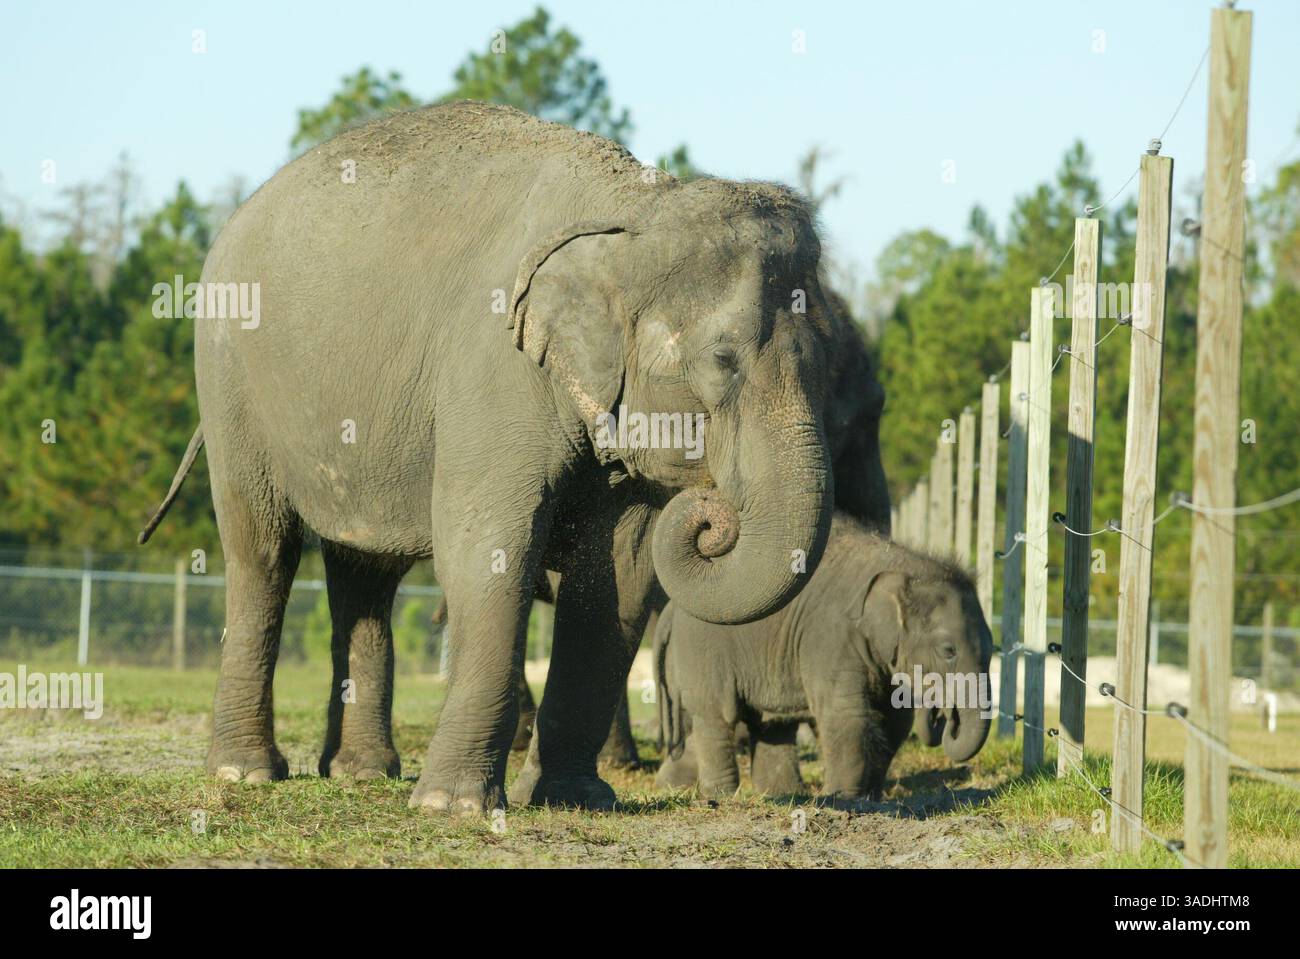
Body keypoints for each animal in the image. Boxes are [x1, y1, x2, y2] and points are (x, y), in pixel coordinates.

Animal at [139, 101, 841, 815]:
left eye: (827, 366)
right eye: (722, 360)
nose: (712, 512)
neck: (630, 214)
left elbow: (620, 571)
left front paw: (576, 798)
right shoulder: (495, 369)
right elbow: (486, 546)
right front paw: (453, 808)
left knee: (364, 573)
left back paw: (363, 773)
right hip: (229, 383)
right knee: (262, 550)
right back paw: (246, 773)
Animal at [654, 512, 993, 800]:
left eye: (994, 650)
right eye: (948, 650)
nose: (944, 717)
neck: (904, 566)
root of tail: (670, 608)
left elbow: (895, 719)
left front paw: (869, 798)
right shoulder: (830, 635)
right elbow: (844, 713)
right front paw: (842, 799)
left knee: (771, 725)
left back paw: (781, 795)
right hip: (701, 651)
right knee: (716, 716)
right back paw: (722, 796)